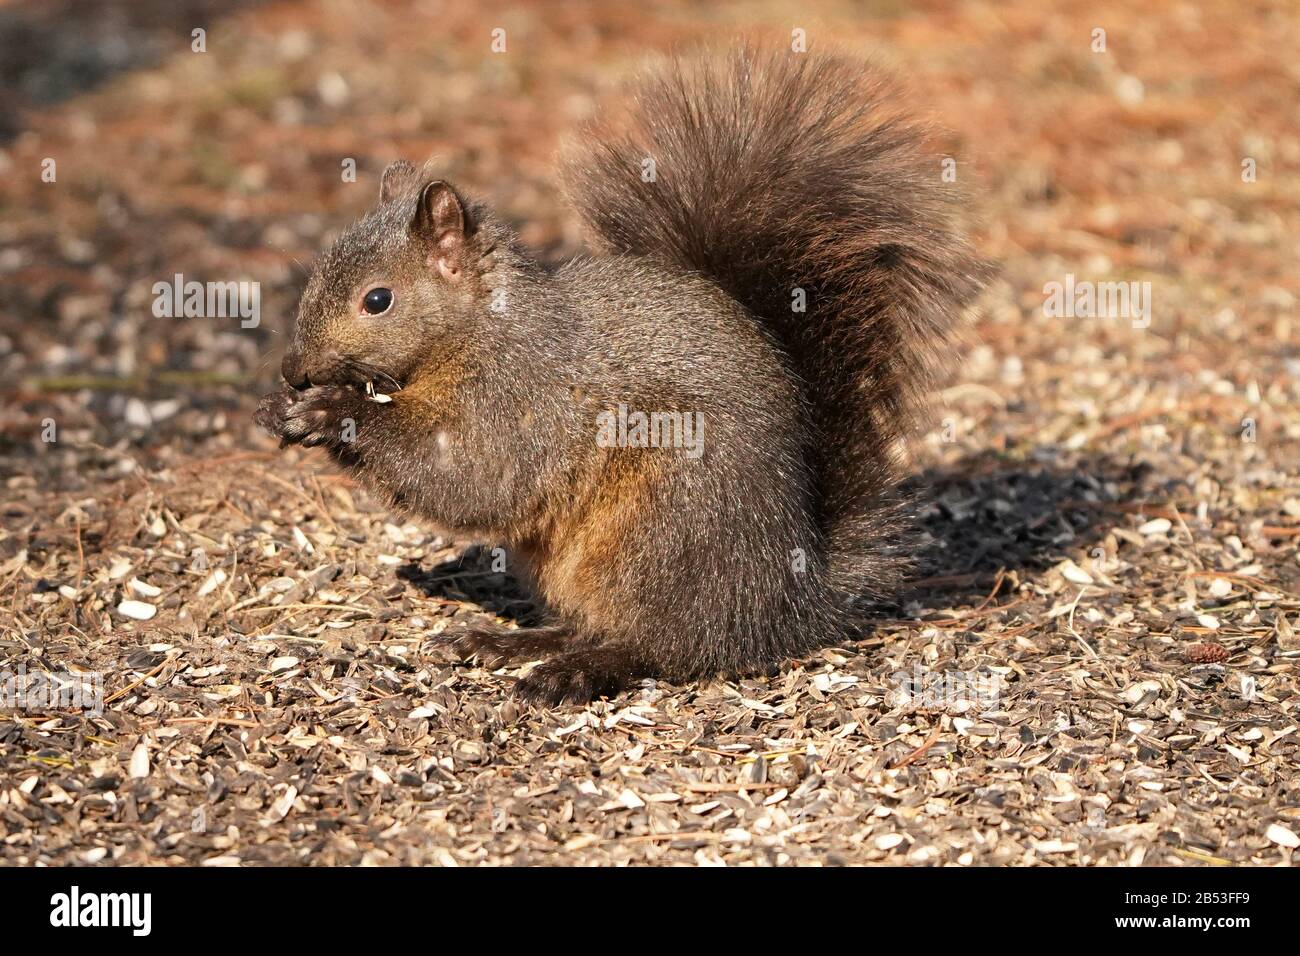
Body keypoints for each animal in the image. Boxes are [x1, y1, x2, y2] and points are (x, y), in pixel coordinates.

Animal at [255, 47, 987, 704]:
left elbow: (470, 477)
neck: (479, 331)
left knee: (669, 645)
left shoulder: (523, 397)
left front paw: (333, 412)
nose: (293, 369)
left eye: (377, 299)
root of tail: (787, 597)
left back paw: (573, 672)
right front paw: (279, 410)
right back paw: (509, 642)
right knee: (594, 624)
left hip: (661, 529)